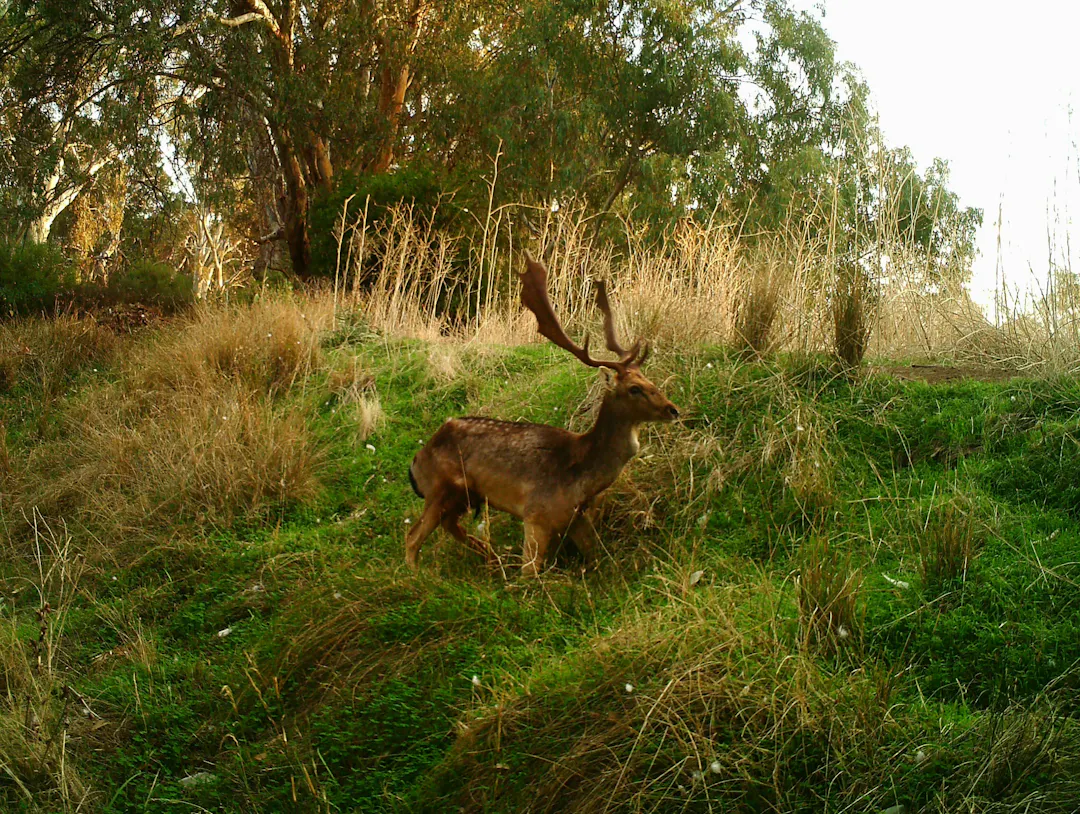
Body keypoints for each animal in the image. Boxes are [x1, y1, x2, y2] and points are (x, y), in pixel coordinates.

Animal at [405, 252, 680, 577]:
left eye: (648, 379)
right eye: (634, 388)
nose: (673, 409)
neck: (580, 477)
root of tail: (416, 460)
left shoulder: (577, 519)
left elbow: (599, 559)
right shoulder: (536, 513)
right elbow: (530, 573)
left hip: (462, 496)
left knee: (450, 526)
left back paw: (491, 557)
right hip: (440, 489)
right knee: (413, 536)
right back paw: (414, 577)